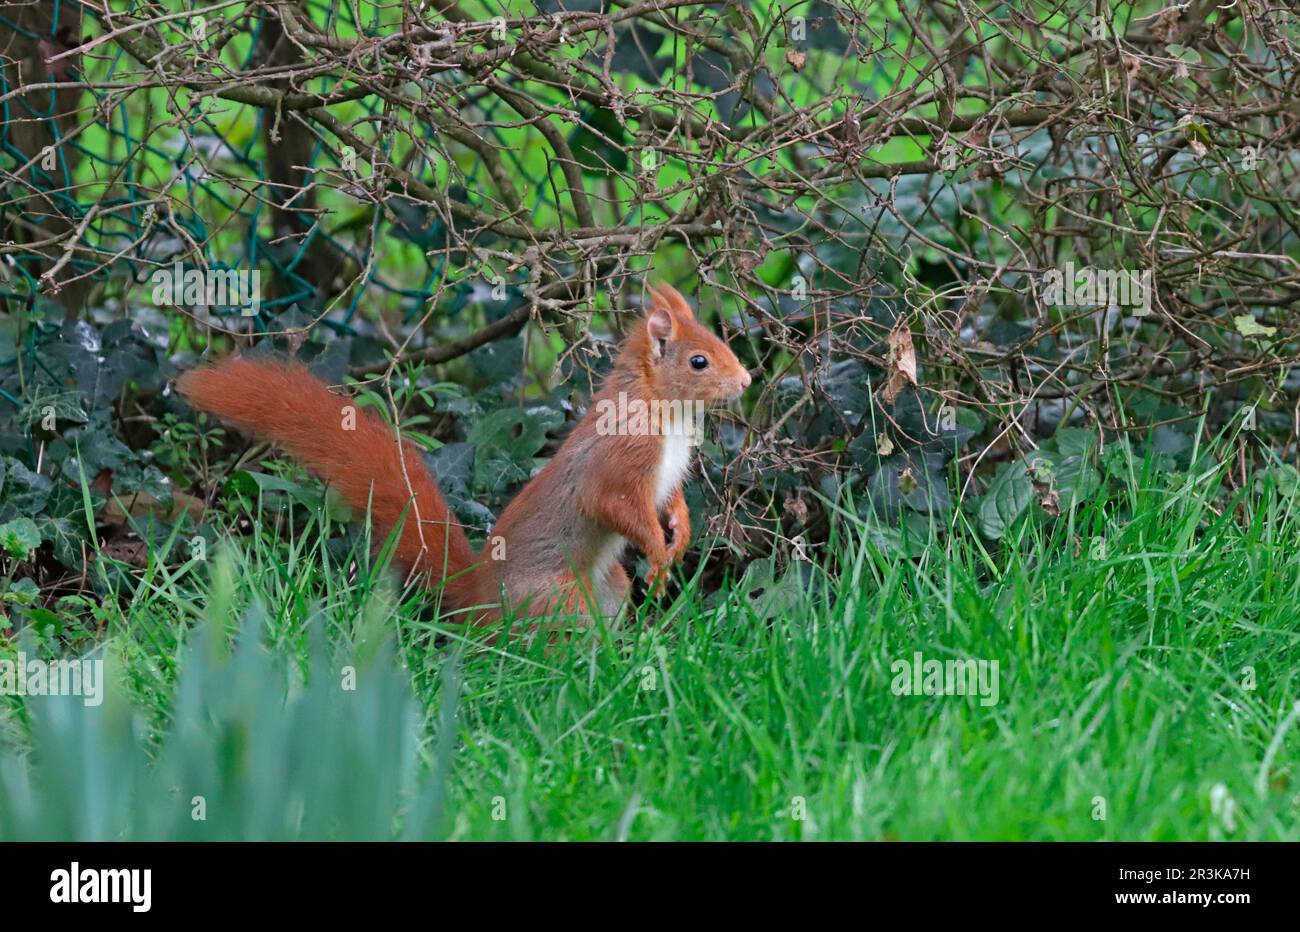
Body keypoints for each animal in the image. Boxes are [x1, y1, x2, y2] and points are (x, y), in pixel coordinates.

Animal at [176, 282, 751, 625]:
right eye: (699, 361)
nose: (746, 380)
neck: (667, 412)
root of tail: (477, 596)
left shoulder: (667, 473)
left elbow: (670, 503)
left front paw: (679, 538)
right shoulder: (618, 461)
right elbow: (616, 506)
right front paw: (659, 554)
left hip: (608, 588)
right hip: (556, 596)